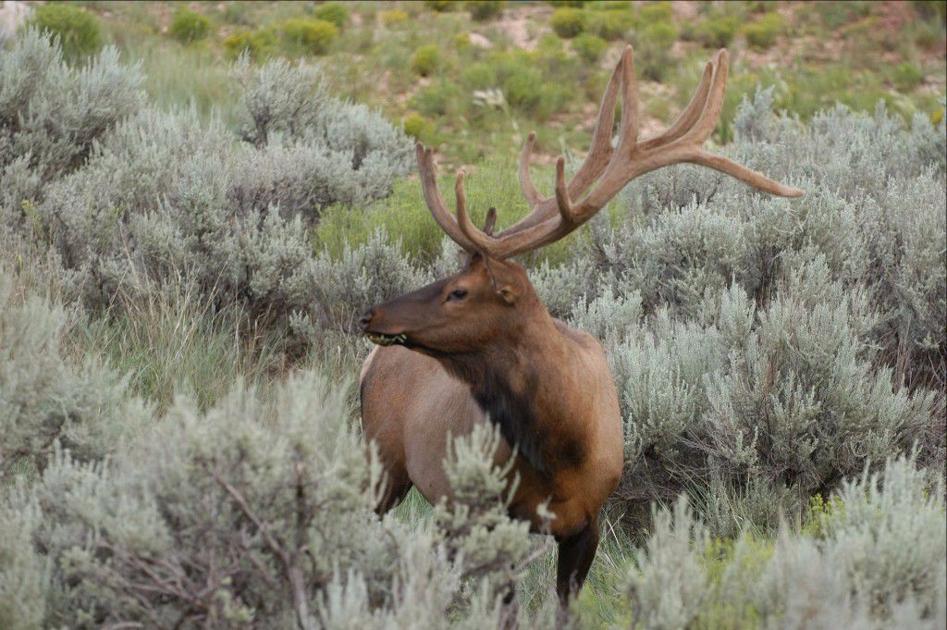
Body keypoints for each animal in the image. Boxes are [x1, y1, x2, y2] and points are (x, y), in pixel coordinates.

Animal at [359, 46, 803, 608]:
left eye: (459, 291)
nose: (370, 314)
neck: (561, 448)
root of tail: (369, 362)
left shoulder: (588, 521)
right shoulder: (500, 515)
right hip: (385, 466)